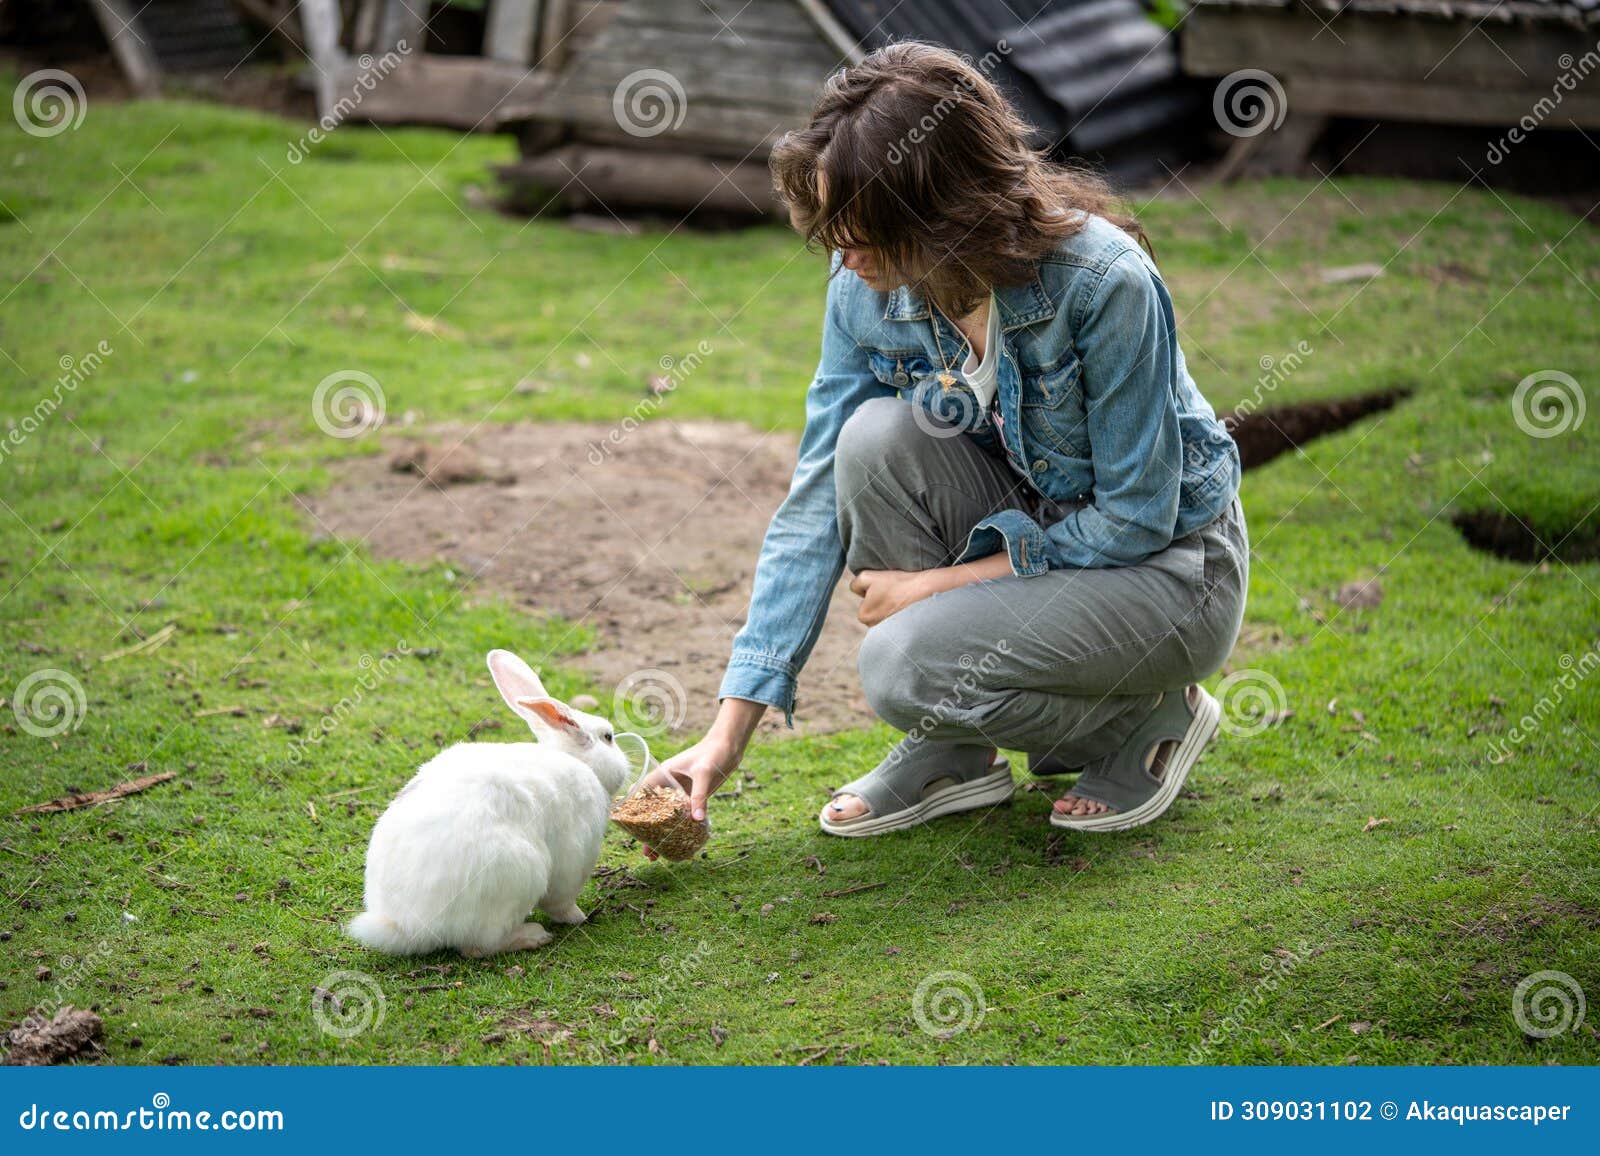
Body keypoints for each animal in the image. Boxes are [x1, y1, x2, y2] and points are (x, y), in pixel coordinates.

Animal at [345, 649, 630, 957]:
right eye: (608, 737)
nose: (627, 765)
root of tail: (407, 927)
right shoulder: (575, 853)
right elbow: (562, 900)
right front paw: (577, 917)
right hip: (521, 873)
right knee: (480, 946)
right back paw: (532, 936)